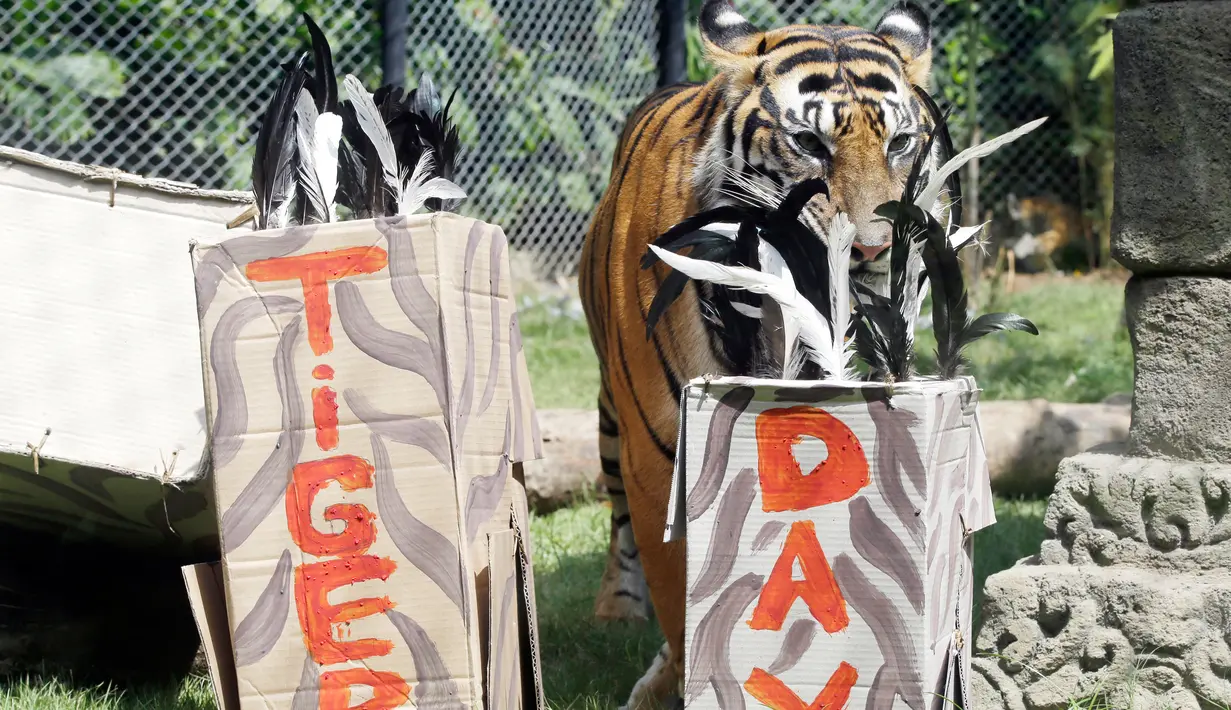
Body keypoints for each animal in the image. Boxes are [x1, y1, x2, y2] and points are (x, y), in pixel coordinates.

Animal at [577, 1, 939, 706]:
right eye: (811, 145)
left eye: (900, 145)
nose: (875, 250)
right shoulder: (657, 452)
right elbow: (677, 587)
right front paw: (679, 676)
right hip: (611, 417)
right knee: (617, 520)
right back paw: (614, 610)